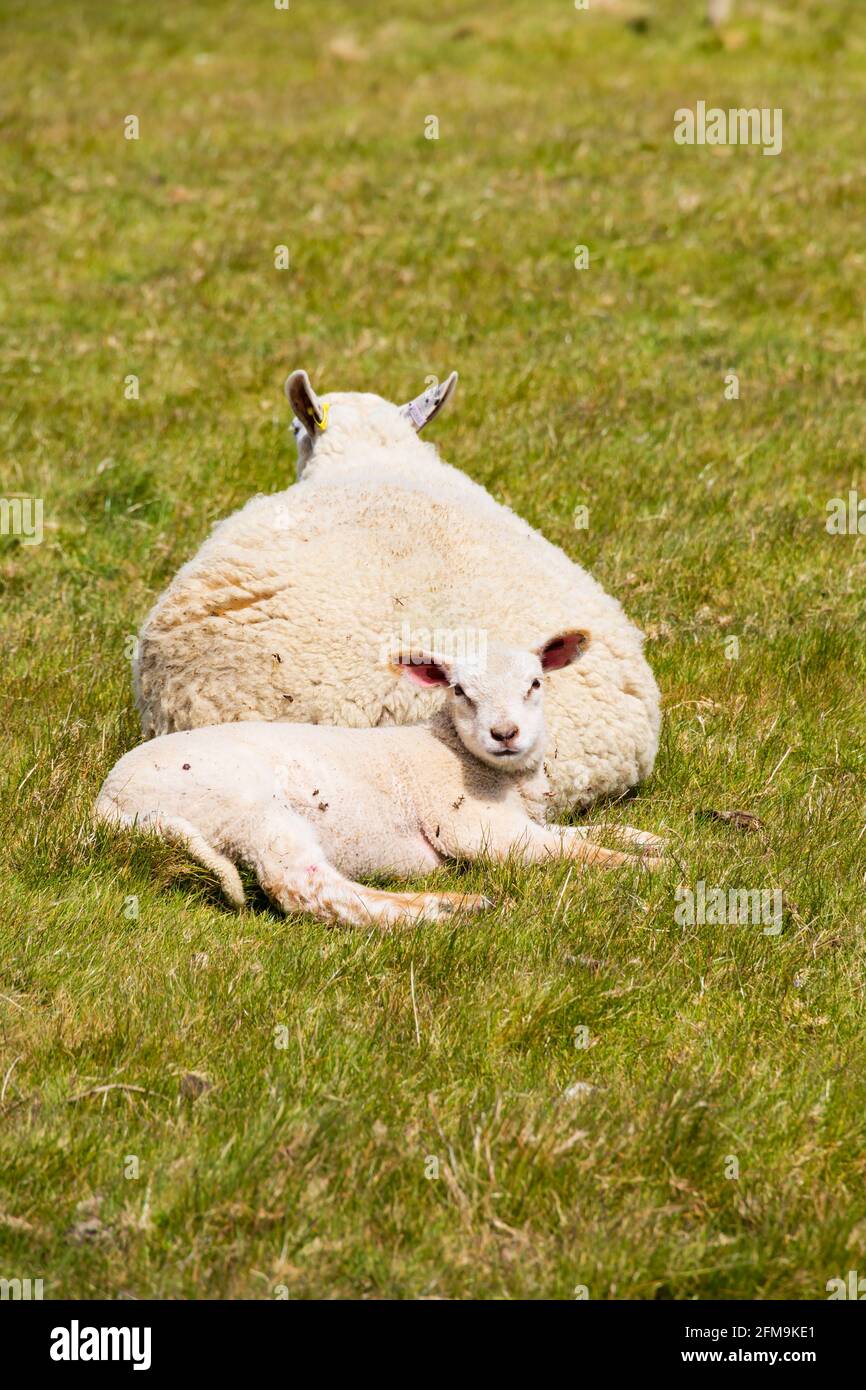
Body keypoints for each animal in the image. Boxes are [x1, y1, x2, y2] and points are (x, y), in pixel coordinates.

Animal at [102, 629, 665, 927]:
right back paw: (438, 913)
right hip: (245, 806)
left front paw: (647, 839)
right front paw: (648, 867)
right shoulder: (475, 825)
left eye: (535, 683)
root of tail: (109, 801)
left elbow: (581, 833)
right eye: (460, 691)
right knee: (304, 887)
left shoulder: (521, 818)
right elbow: (572, 851)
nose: (505, 734)